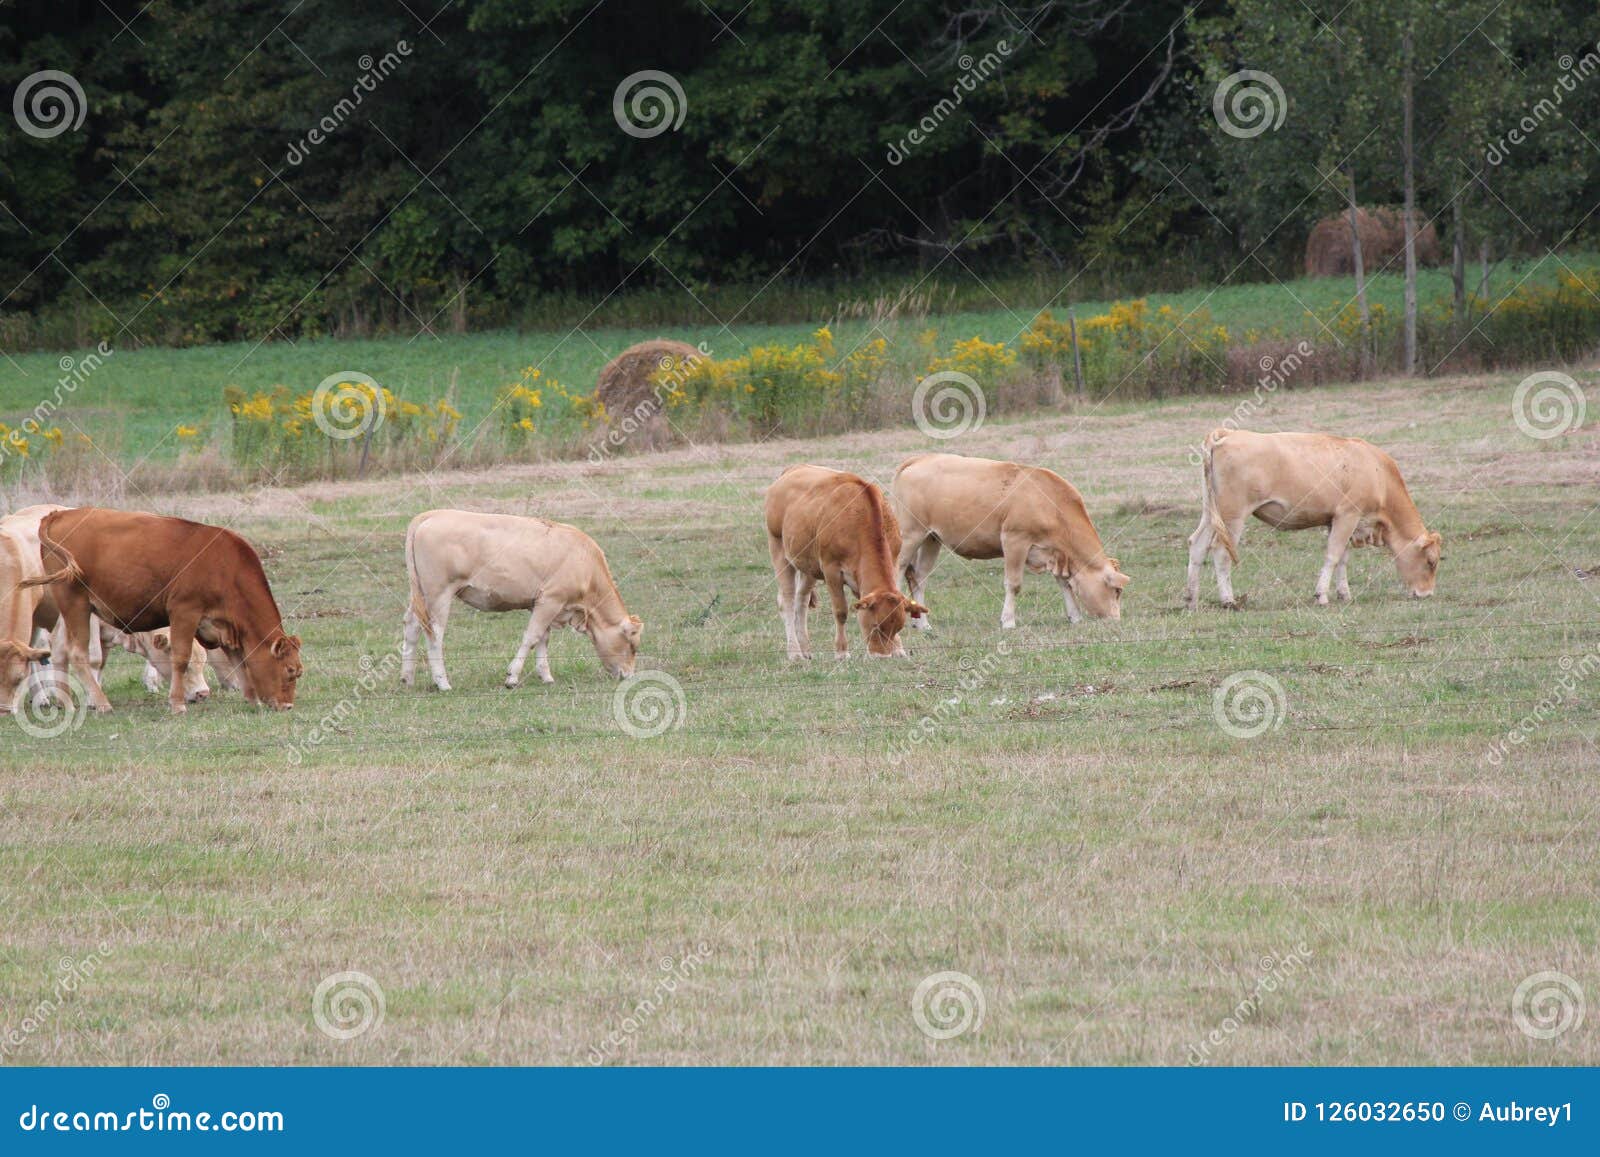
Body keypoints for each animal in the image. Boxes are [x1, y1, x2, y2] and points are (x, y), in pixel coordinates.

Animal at [21, 507, 301, 713]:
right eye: (289, 671)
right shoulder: (184, 612)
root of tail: (59, 514)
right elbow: (181, 658)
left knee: (60, 650)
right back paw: (101, 703)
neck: (225, 566)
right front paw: (177, 704)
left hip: (69, 609)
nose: (287, 706)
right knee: (78, 654)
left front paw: (252, 699)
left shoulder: (224, 625)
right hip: (76, 603)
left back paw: (65, 701)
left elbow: (239, 660)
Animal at [401, 509, 642, 690]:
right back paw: (442, 682)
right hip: (439, 594)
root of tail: (431, 515)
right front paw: (512, 677)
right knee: (434, 634)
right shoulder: (551, 599)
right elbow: (531, 637)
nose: (628, 676)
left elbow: (543, 639)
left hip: (419, 595)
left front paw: (546, 677)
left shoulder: (542, 604)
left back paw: (407, 678)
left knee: (411, 627)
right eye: (632, 646)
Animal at [764, 464, 926, 660]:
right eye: (876, 626)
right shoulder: (831, 570)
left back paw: (805, 649)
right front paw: (842, 652)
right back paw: (795, 653)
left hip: (809, 566)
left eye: (898, 628)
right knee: (787, 601)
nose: (881, 656)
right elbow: (841, 611)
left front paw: (898, 648)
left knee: (801, 600)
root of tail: (793, 468)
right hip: (778, 549)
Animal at [890, 453, 1129, 631]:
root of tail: (920, 459)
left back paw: (923, 624)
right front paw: (1008, 621)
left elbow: (1064, 583)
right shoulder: (1015, 541)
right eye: (1117, 591)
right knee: (898, 569)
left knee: (919, 577)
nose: (1116, 621)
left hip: (931, 538)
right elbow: (1013, 584)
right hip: (911, 534)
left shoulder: (1056, 552)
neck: (1051, 503)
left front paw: (1075, 616)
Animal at [1185, 428, 1443, 609]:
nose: (1427, 594)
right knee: (1221, 552)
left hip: (1211, 514)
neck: (1376, 471)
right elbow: (1333, 555)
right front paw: (1322, 596)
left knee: (1197, 546)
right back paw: (1228, 600)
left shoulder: (1337, 520)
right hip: (1233, 516)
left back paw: (1191, 599)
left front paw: (1344, 594)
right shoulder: (1348, 515)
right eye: (1431, 562)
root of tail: (1227, 433)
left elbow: (1342, 558)